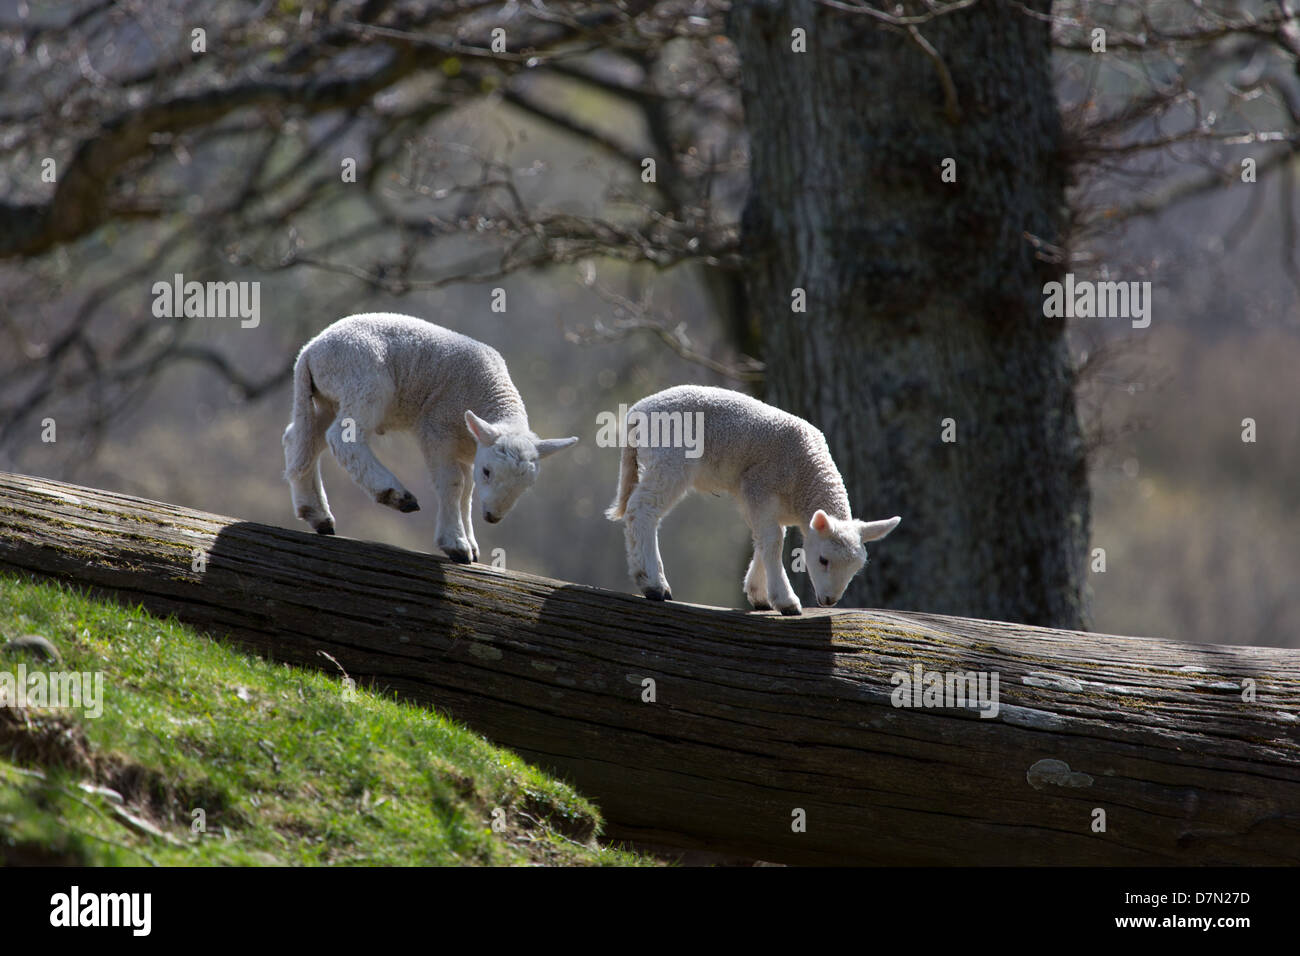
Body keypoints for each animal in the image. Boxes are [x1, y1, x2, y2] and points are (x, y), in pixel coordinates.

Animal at [282, 313, 578, 562]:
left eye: (527, 485)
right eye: (488, 472)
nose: (493, 517)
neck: (489, 394)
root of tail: (310, 350)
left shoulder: (466, 448)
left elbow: (467, 493)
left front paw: (470, 544)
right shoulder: (437, 429)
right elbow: (453, 484)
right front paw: (456, 544)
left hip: (328, 398)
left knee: (301, 439)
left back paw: (316, 513)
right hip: (363, 382)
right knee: (341, 438)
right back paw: (393, 493)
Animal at [605, 385, 900, 615]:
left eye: (856, 568)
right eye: (823, 560)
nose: (829, 601)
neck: (805, 480)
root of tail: (637, 412)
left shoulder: (759, 499)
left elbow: (766, 538)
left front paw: (759, 594)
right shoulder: (759, 485)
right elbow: (773, 541)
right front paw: (786, 601)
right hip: (669, 459)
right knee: (642, 509)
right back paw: (654, 584)